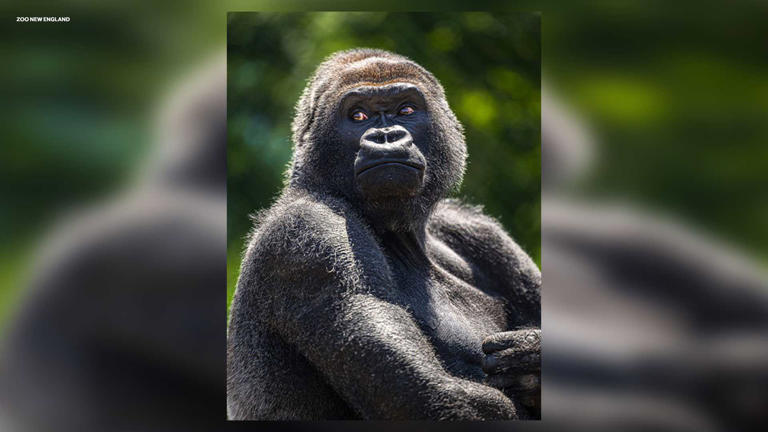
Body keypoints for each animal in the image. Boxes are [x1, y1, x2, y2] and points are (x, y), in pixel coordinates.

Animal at [227, 48, 541, 420]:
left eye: (406, 110)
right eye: (358, 115)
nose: (387, 136)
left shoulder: (478, 230)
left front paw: (533, 354)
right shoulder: (310, 236)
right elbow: (429, 397)